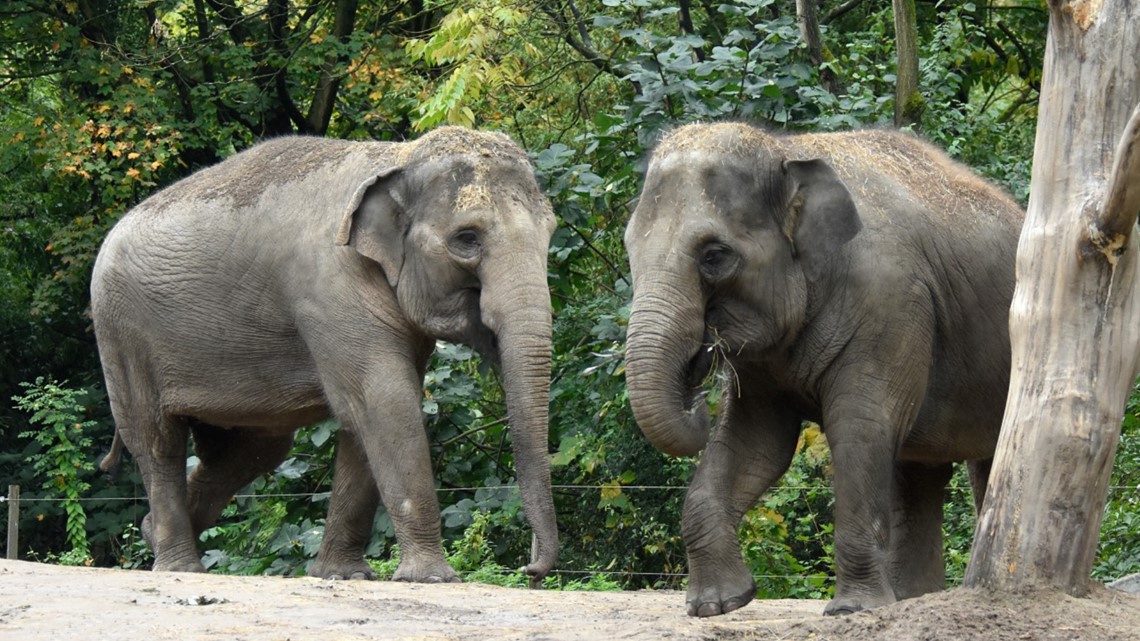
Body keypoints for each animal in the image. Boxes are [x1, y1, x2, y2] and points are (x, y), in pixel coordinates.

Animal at [90, 126, 559, 586]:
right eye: (466, 239)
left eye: (550, 231)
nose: (531, 570)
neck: (399, 158)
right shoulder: (331, 288)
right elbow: (385, 403)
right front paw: (431, 579)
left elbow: (364, 419)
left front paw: (344, 575)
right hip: (121, 334)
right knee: (159, 441)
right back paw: (179, 567)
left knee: (252, 451)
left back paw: (151, 532)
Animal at [623, 122, 1023, 616]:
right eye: (628, 247)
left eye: (714, 256)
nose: (696, 391)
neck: (786, 150)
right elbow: (758, 441)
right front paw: (716, 605)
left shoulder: (889, 302)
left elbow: (860, 427)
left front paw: (852, 610)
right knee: (920, 472)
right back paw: (912, 600)